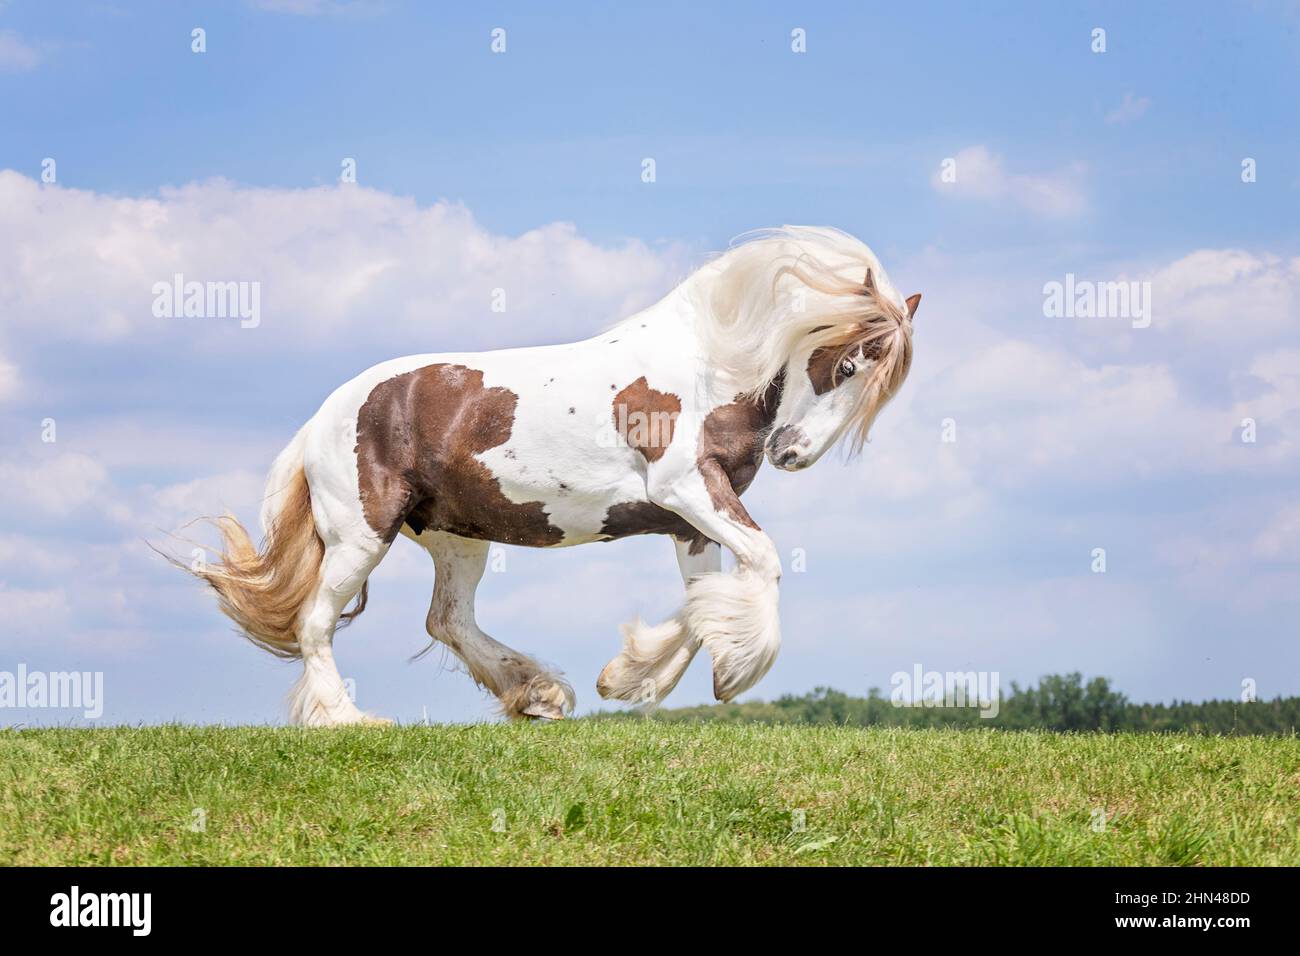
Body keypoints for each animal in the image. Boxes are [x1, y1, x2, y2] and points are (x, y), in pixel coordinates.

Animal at [183, 226, 920, 725]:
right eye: (847, 363)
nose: (793, 453)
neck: (708, 362)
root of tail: (320, 419)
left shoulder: (689, 522)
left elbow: (702, 603)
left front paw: (629, 680)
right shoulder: (685, 489)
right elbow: (763, 562)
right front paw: (737, 672)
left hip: (458, 537)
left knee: (447, 620)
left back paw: (538, 694)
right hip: (363, 535)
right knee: (316, 622)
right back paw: (348, 720)